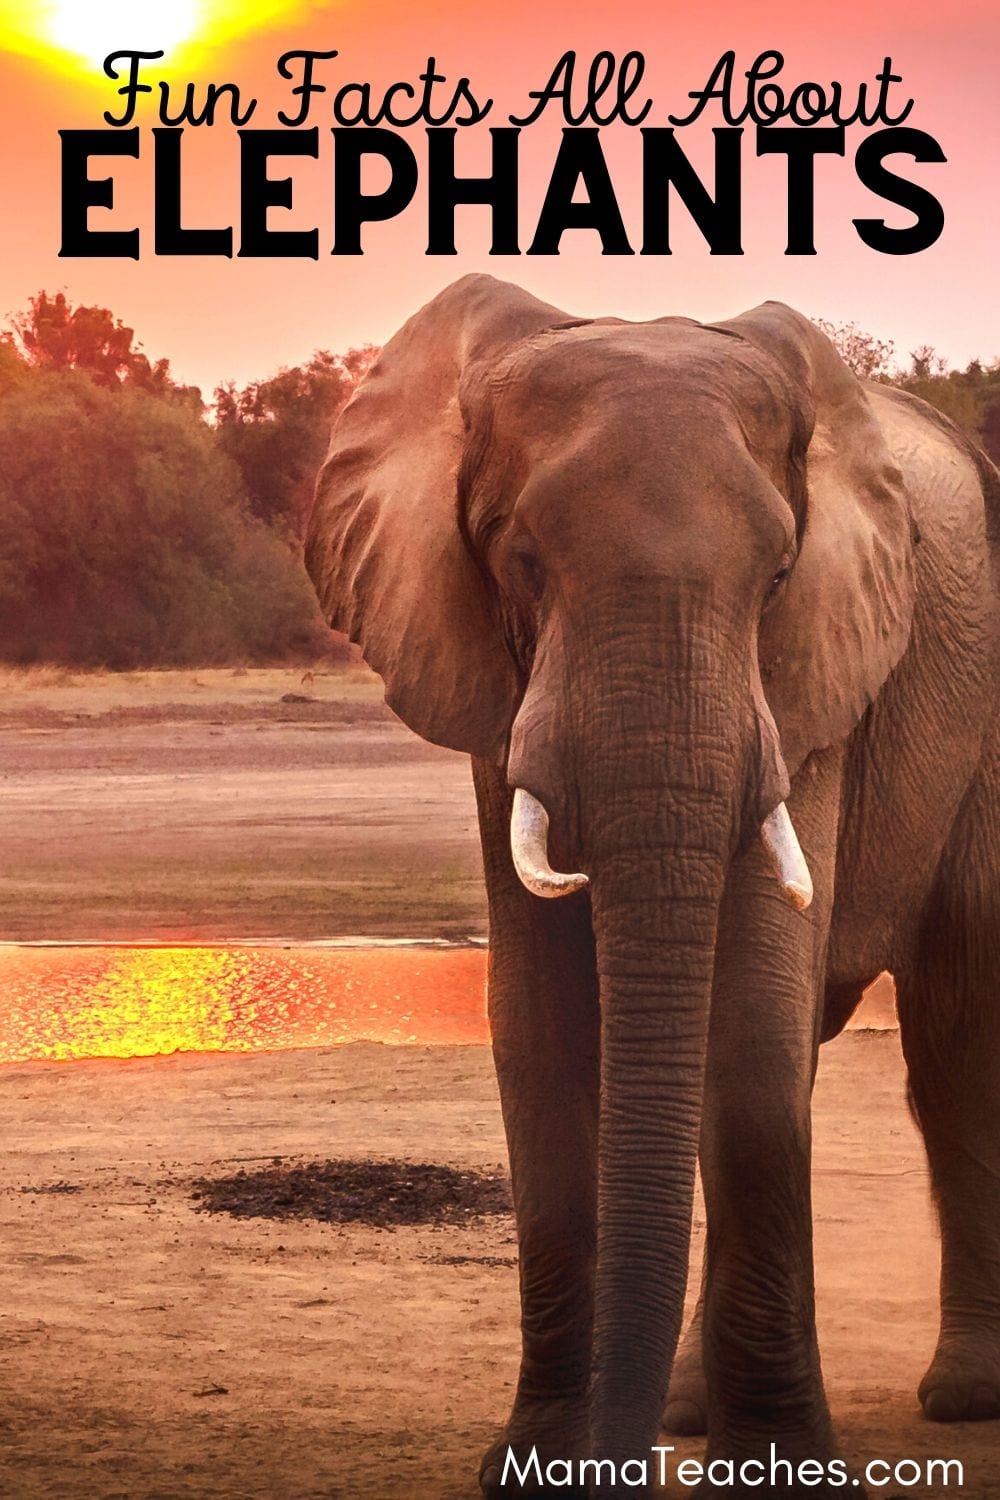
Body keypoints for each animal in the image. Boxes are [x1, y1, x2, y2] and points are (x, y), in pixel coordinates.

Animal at [304, 274, 1000, 1497]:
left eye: (778, 578)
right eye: (519, 562)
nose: (608, 1461)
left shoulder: (811, 680)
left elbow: (752, 1025)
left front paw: (778, 1462)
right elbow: (539, 1030)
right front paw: (538, 1459)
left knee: (956, 1027)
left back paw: (961, 1397)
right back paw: (683, 1408)